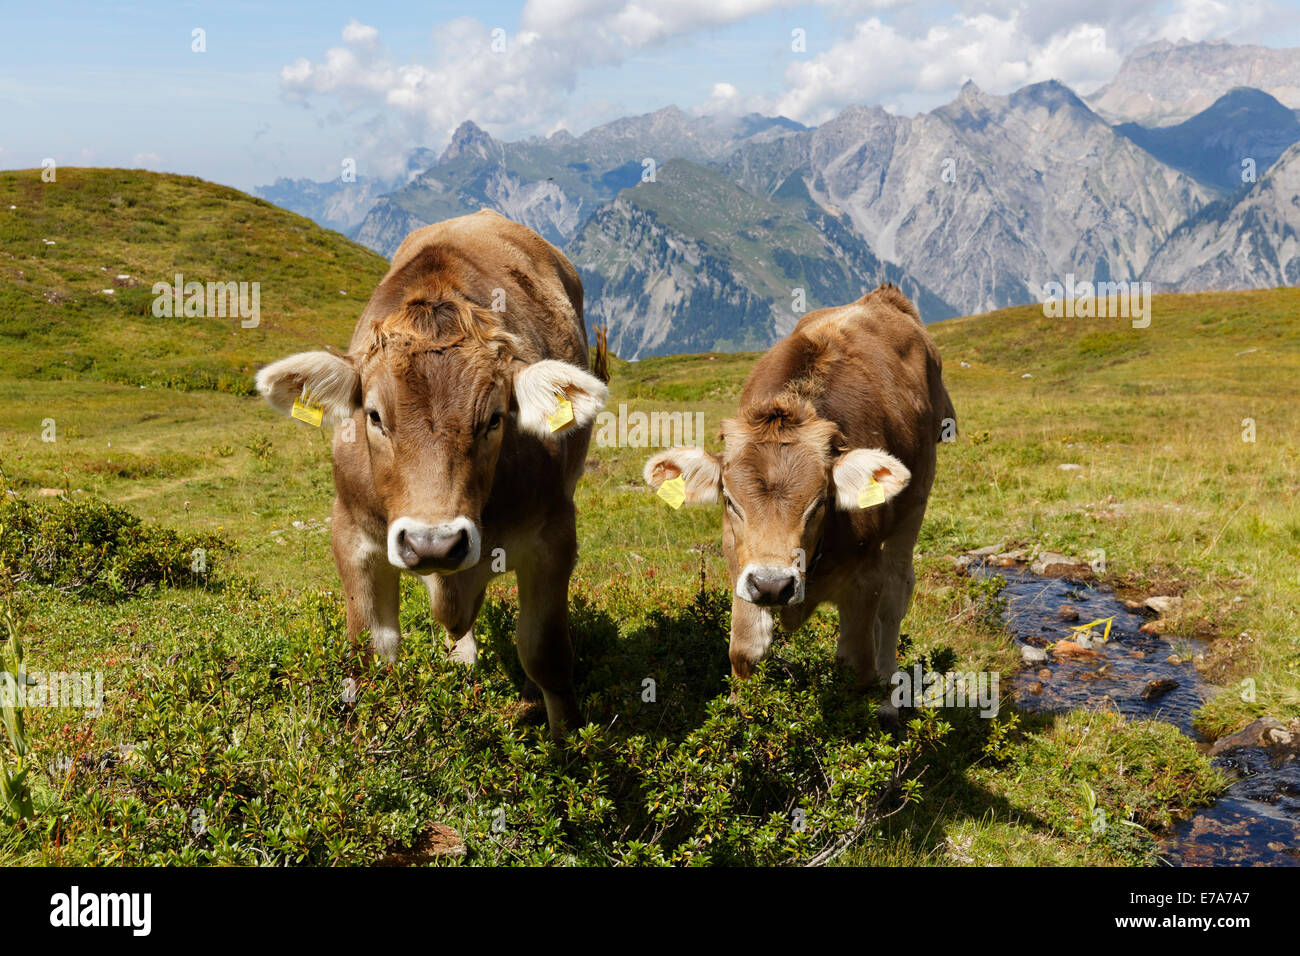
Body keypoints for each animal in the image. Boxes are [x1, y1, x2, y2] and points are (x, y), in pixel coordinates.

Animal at [255, 210, 609, 738]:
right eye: (375, 416)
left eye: (494, 418)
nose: (433, 544)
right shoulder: (352, 533)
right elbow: (369, 653)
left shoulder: (554, 535)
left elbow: (546, 655)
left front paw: (570, 743)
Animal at [644, 284, 954, 694]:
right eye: (731, 502)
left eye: (820, 503)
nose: (773, 586)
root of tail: (882, 297)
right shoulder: (741, 567)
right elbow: (744, 652)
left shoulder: (864, 579)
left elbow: (857, 668)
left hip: (917, 498)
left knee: (896, 594)